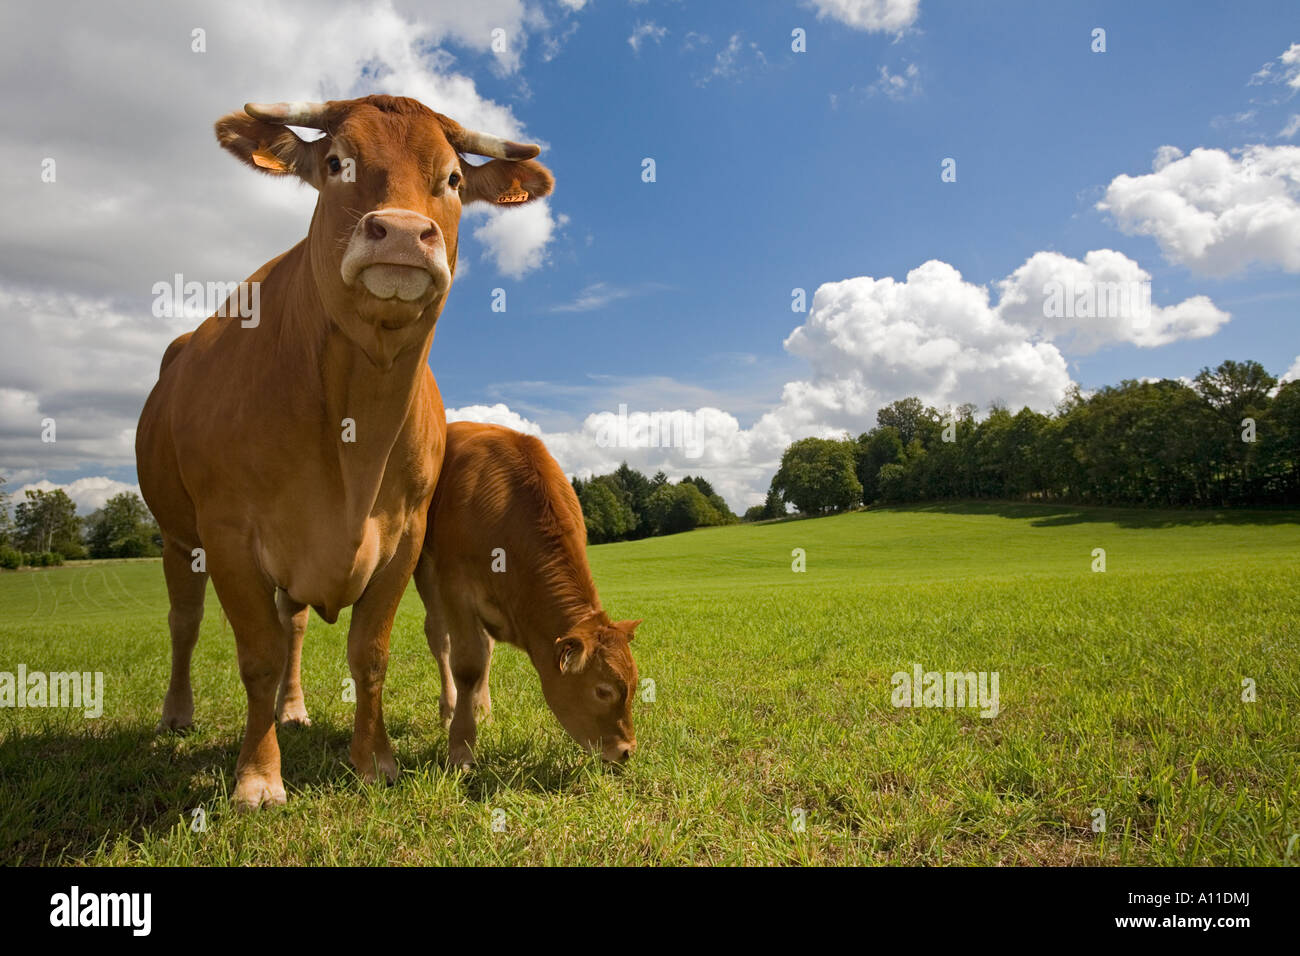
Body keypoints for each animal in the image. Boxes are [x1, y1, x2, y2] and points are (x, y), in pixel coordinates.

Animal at [135, 95, 554, 809]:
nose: (405, 233)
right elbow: (257, 654)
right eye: (336, 163)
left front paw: (374, 759)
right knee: (185, 622)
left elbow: (368, 652)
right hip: (177, 535)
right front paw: (258, 778)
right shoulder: (228, 533)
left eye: (453, 180)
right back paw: (178, 713)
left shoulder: (405, 533)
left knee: (294, 624)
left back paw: (293, 708)